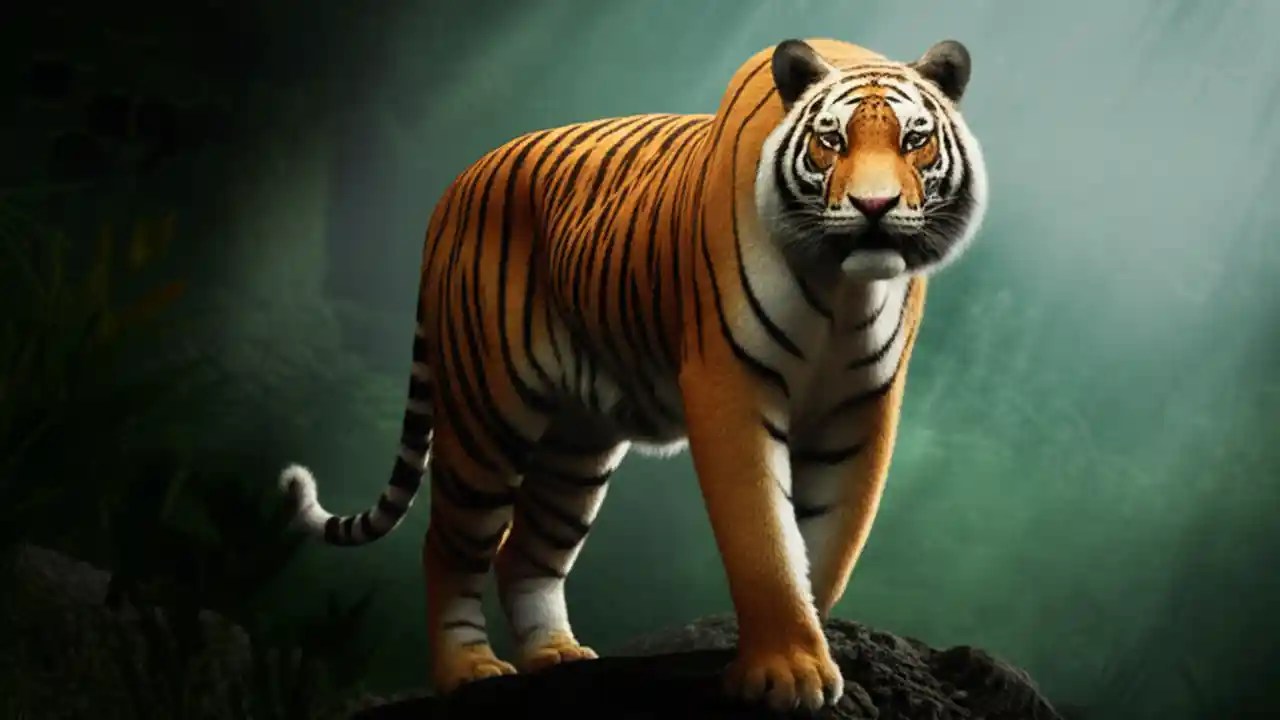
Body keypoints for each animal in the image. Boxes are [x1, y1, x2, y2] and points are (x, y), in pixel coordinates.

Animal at [277, 36, 987, 712]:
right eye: (831, 139)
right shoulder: (730, 386)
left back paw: (556, 655)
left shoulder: (860, 408)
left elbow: (828, 545)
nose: (874, 206)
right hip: (485, 416)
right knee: (451, 544)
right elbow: (765, 540)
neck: (843, 292)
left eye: (915, 139)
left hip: (577, 446)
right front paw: (787, 671)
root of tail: (454, 186)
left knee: (525, 550)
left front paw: (811, 652)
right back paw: (467, 670)